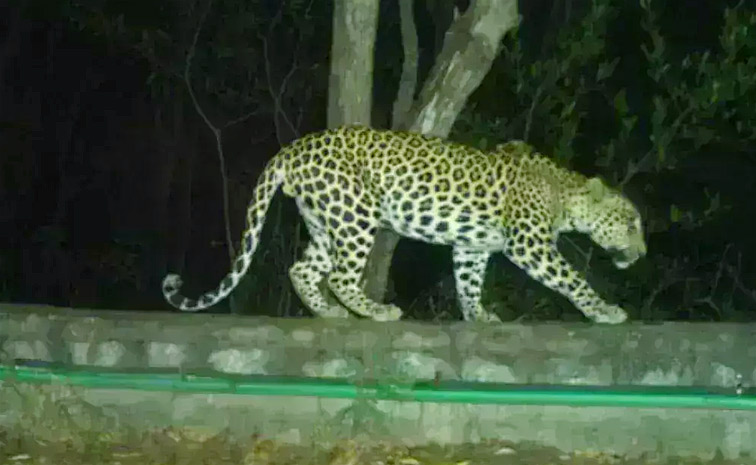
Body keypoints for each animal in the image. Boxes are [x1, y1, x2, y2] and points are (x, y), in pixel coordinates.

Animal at [162, 125, 646, 324]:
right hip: (355, 213)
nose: (642, 254)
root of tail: (292, 148)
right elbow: (573, 279)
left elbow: (468, 282)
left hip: (325, 221)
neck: (566, 192)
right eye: (631, 223)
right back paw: (377, 311)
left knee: (303, 269)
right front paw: (605, 310)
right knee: (340, 276)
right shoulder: (530, 244)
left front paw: (478, 316)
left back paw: (330, 313)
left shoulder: (471, 247)